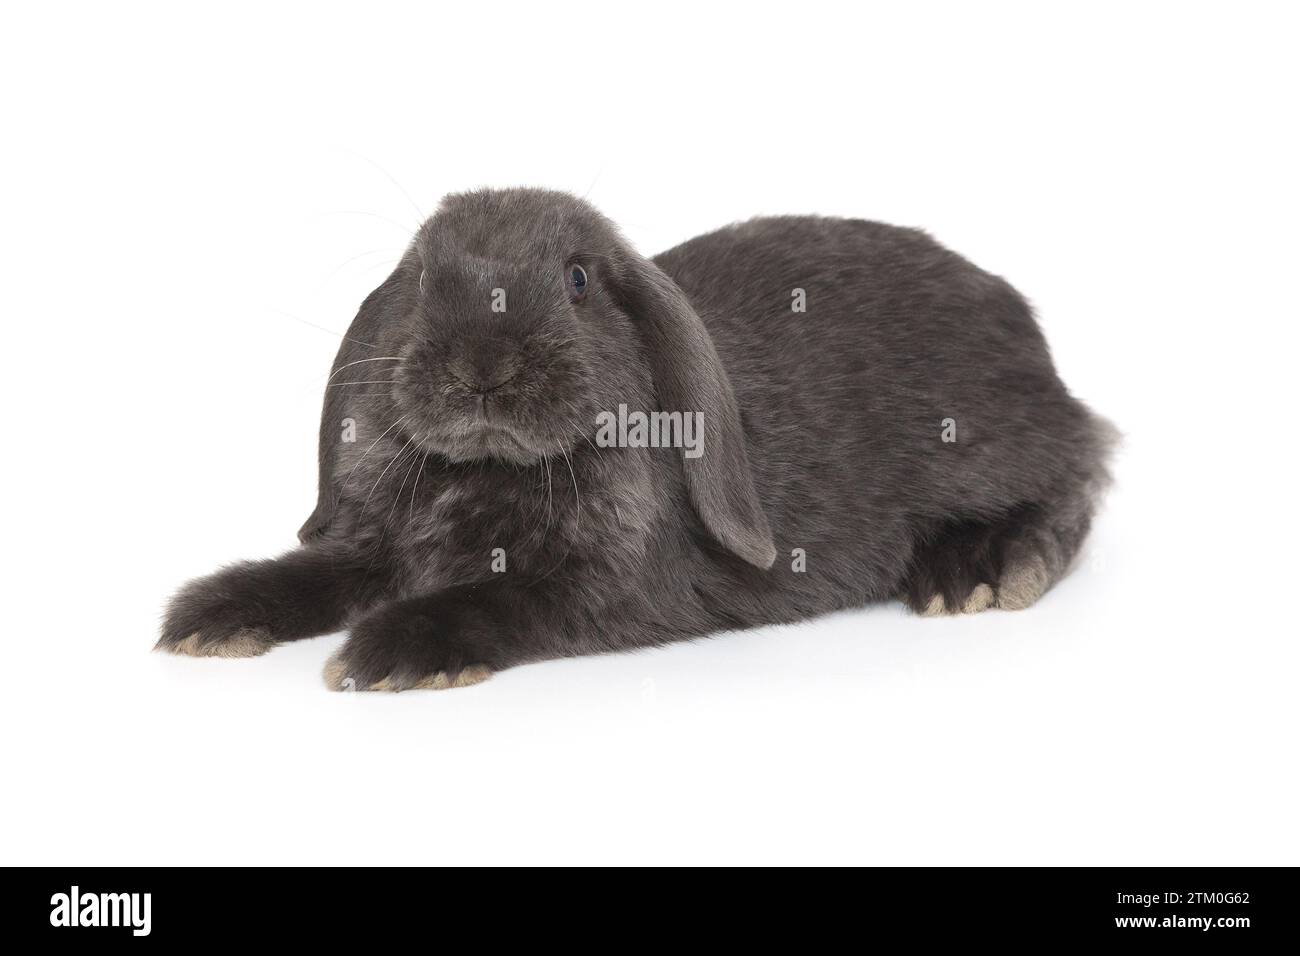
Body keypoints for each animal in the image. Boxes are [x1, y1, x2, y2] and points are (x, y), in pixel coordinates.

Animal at [158, 187, 1116, 690]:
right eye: (425, 279)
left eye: (579, 280)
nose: (481, 368)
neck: (489, 470)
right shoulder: (371, 549)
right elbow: (315, 574)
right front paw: (209, 619)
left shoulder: (608, 582)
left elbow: (500, 601)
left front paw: (389, 653)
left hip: (998, 441)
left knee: (1076, 483)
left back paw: (978, 568)